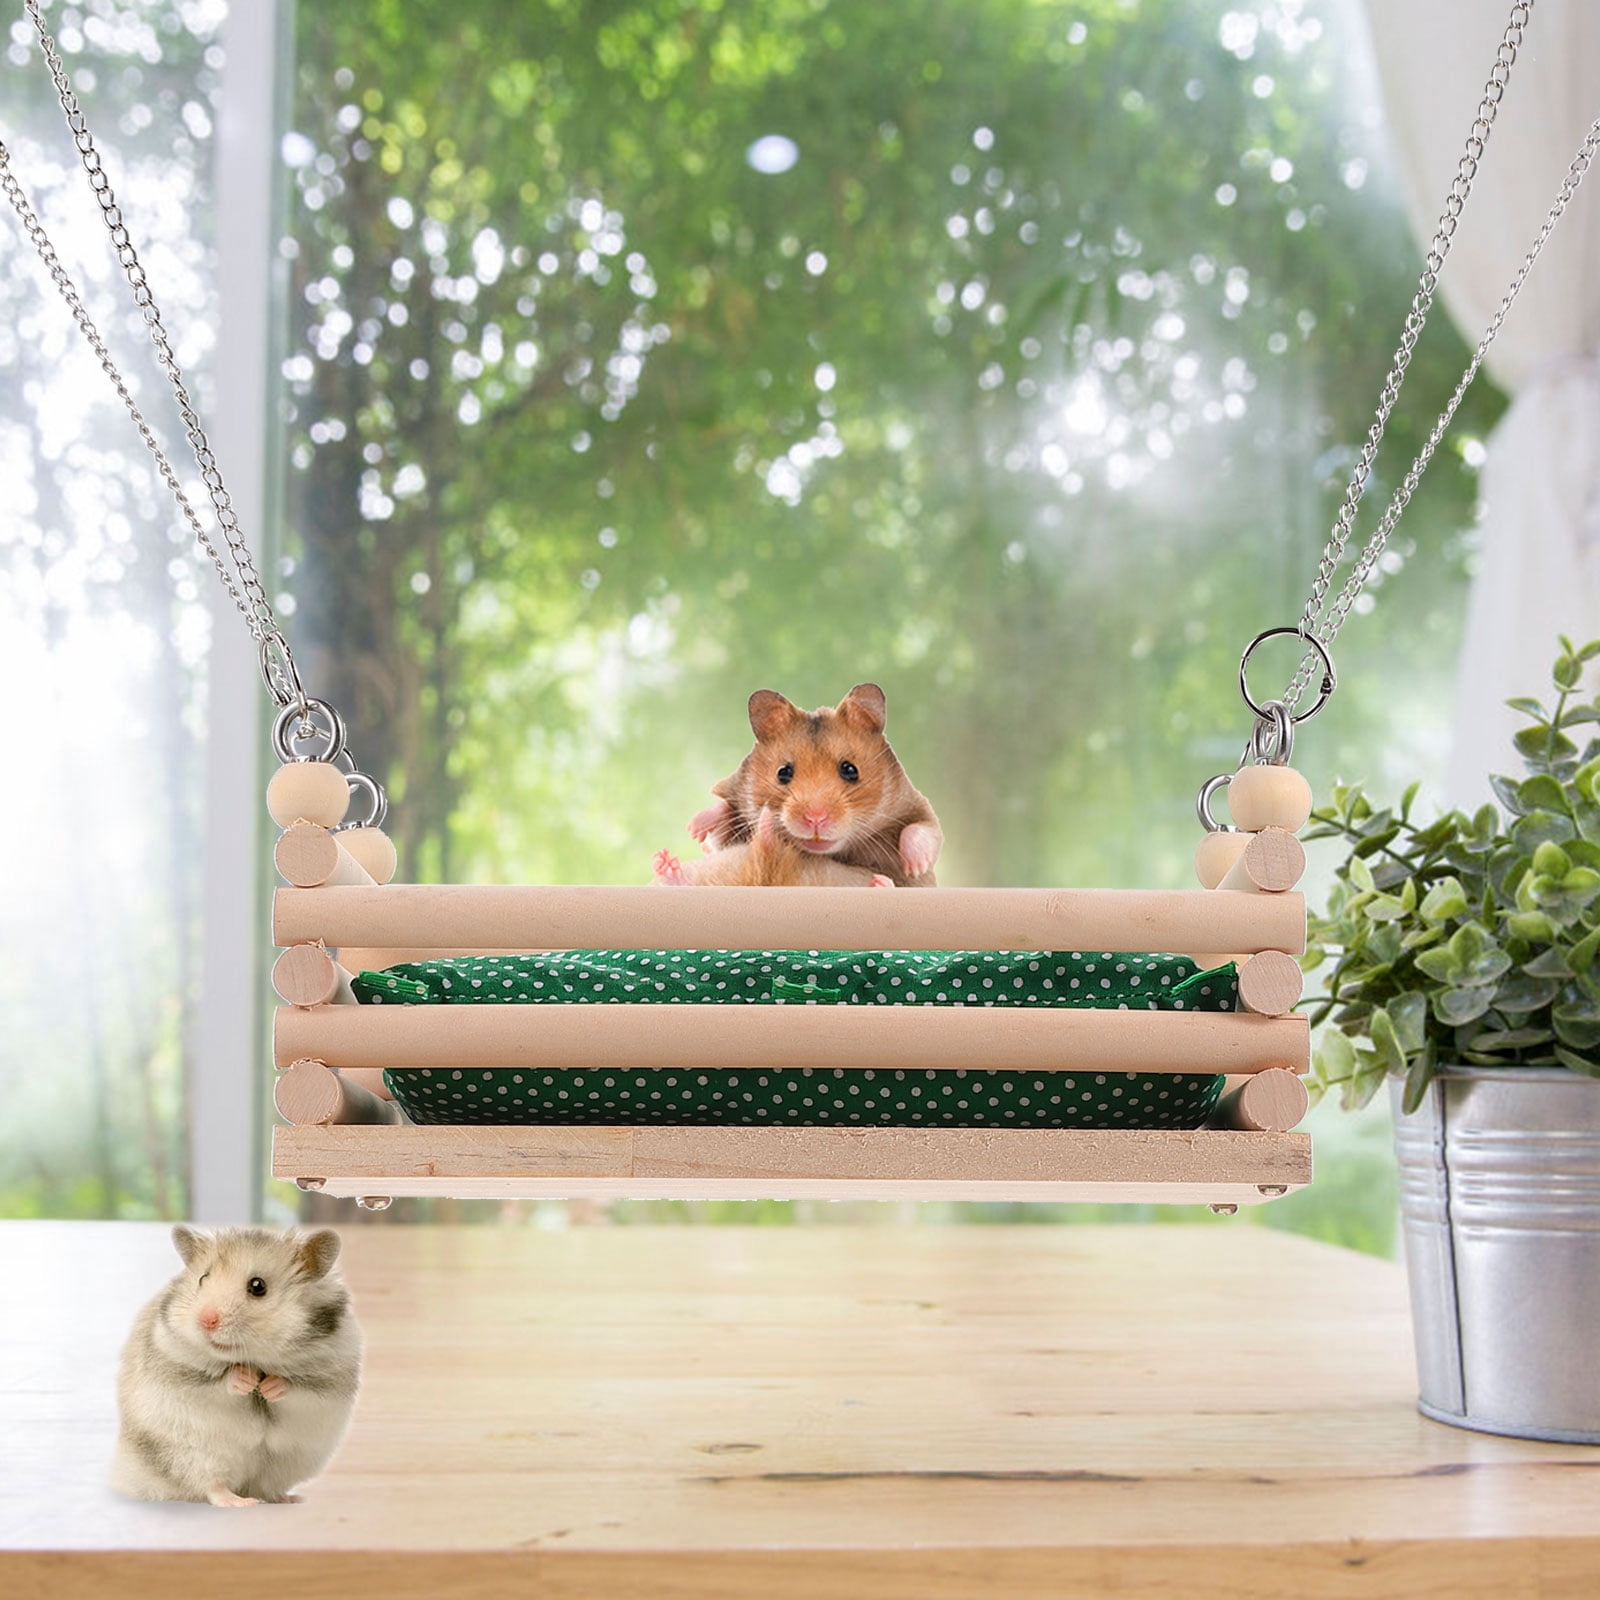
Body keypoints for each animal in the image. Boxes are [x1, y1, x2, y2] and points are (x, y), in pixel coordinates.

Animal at [110, 1225, 362, 1507]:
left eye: (257, 1286)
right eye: (203, 1278)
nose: (205, 1320)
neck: (256, 1359)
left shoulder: (328, 1381)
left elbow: (296, 1389)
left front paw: (269, 1386)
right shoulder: (180, 1371)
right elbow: (219, 1384)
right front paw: (246, 1380)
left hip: (288, 1462)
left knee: (266, 1487)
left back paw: (289, 1498)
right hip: (191, 1454)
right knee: (212, 1485)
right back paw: (241, 1502)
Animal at [663, 683, 942, 887]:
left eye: (850, 770)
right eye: (783, 772)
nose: (815, 818)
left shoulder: (915, 804)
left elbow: (922, 830)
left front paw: (915, 865)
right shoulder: (730, 828)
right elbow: (721, 820)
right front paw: (694, 828)